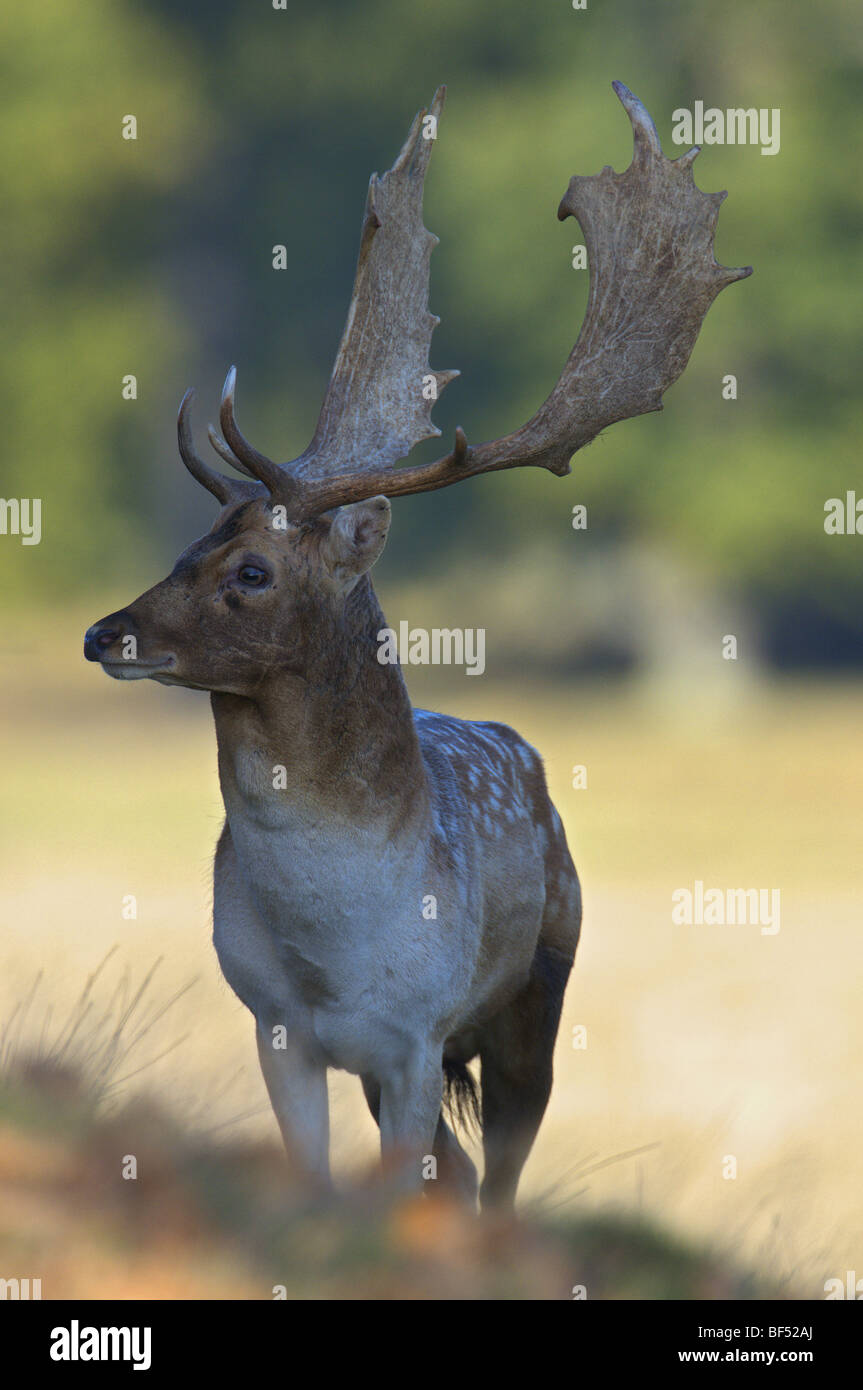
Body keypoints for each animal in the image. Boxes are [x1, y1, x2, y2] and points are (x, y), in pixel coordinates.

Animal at [84, 83, 750, 1211]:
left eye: (250, 572)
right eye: (188, 546)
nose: (104, 631)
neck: (332, 949)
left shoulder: (412, 1036)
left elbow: (415, 1188)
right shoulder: (278, 1027)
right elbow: (320, 1174)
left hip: (539, 984)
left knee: (500, 1172)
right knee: (463, 1166)